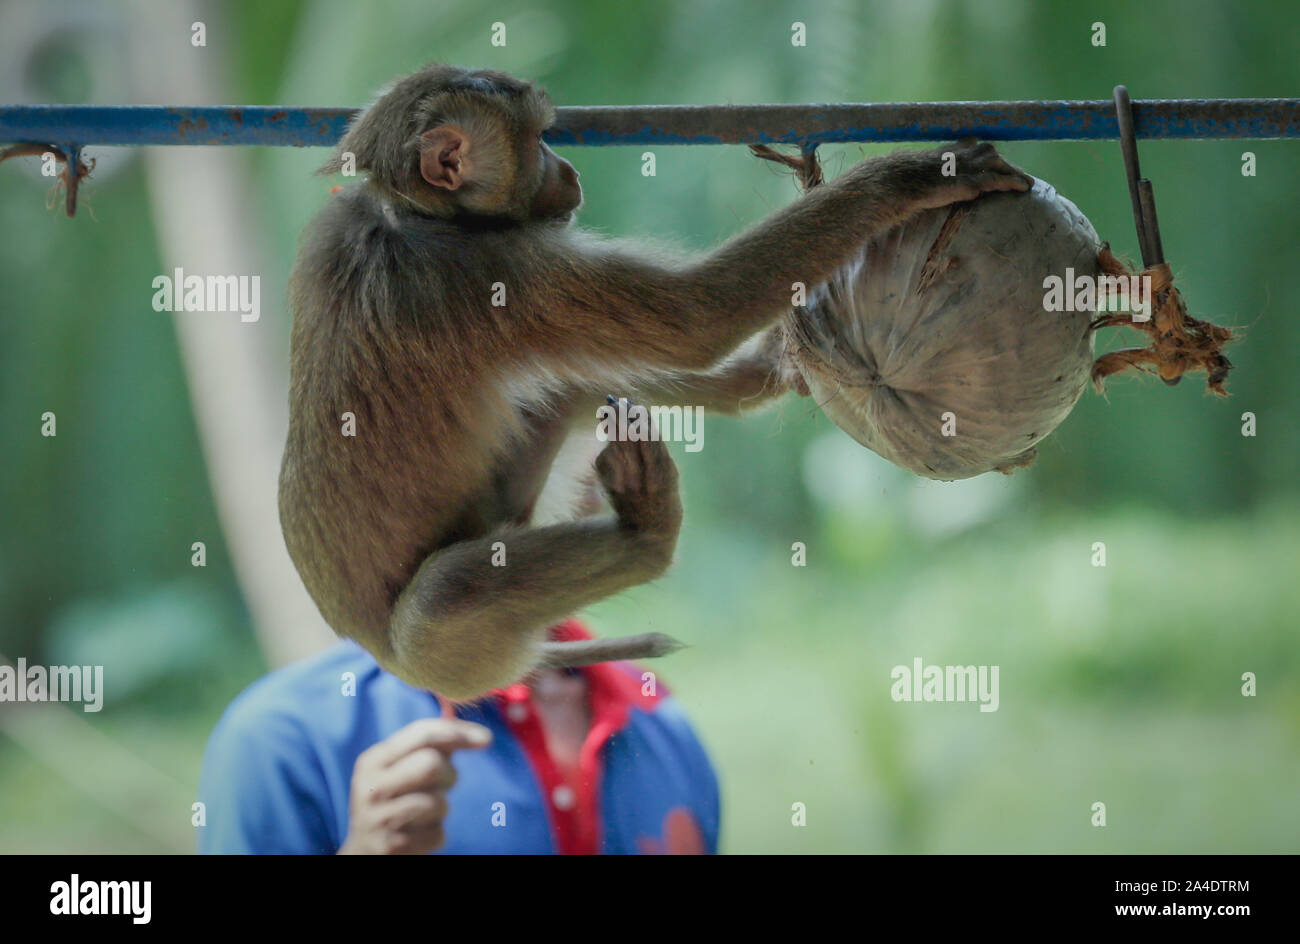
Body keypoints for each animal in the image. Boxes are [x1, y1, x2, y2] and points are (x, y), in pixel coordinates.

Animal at [278, 63, 1031, 700]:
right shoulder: (499, 270)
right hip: (452, 652)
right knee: (445, 597)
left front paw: (766, 366)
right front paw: (907, 179)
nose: (570, 170)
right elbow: (693, 317)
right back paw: (648, 535)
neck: (411, 212)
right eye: (537, 144)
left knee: (571, 388)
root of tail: (386, 659)